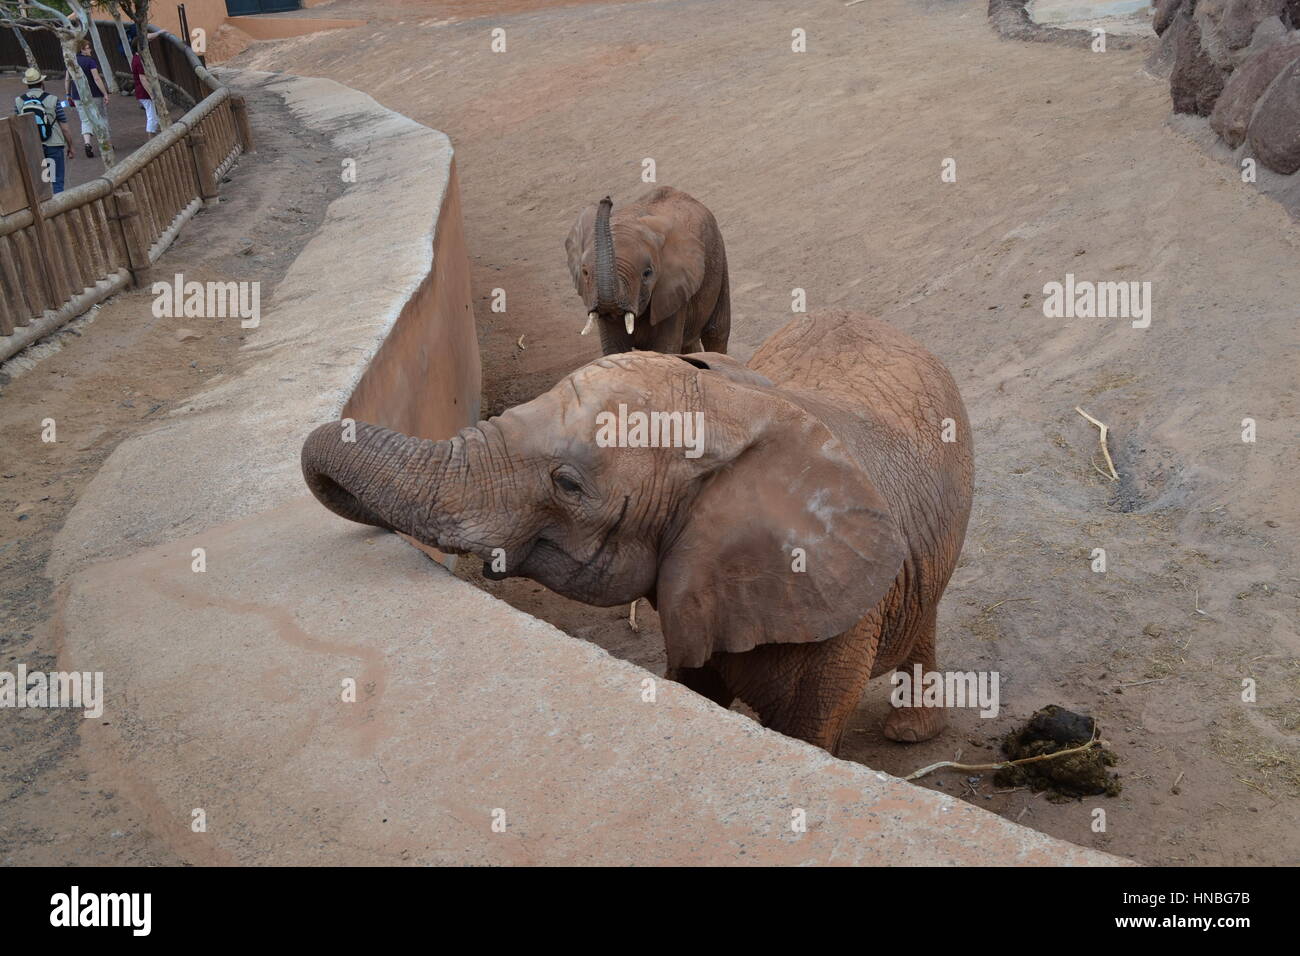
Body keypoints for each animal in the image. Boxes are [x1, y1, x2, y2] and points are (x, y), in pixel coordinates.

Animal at [301, 311, 973, 754]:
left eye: (568, 484)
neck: (729, 407)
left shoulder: (839, 605)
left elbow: (808, 731)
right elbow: (696, 685)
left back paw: (909, 735)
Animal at [565, 186, 730, 356]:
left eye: (647, 273)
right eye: (585, 273)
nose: (606, 199)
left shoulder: (672, 290)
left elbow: (664, 348)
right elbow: (614, 348)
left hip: (719, 255)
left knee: (716, 332)